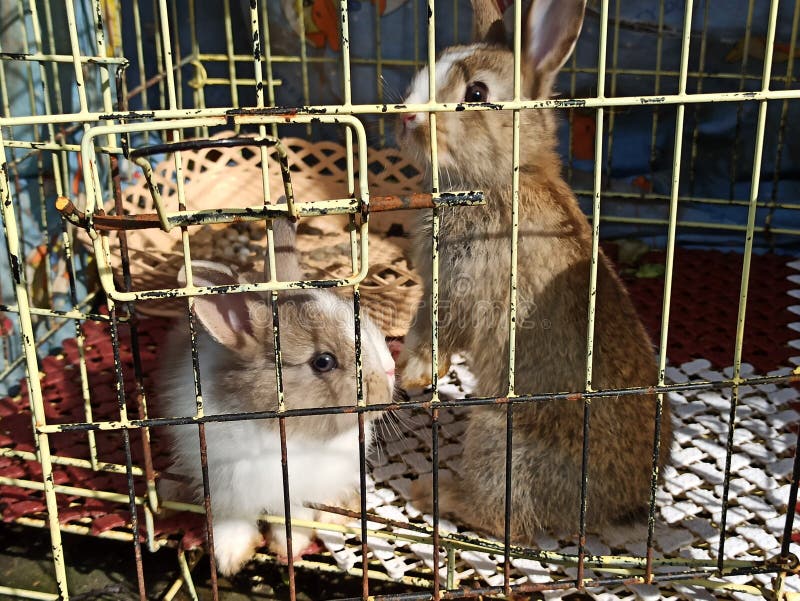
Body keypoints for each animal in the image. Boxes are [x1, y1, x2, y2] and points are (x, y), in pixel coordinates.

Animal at [155, 217, 396, 576]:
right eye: (323, 362)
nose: (392, 371)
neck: (287, 432)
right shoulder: (225, 488)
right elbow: (232, 521)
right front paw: (229, 558)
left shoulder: (297, 492)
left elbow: (293, 517)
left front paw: (291, 546)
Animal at [396, 0, 673, 540]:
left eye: (476, 94)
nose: (409, 117)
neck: (501, 177)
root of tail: (612, 508)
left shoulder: (462, 290)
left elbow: (436, 334)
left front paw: (415, 377)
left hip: (498, 437)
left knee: (501, 516)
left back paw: (434, 493)